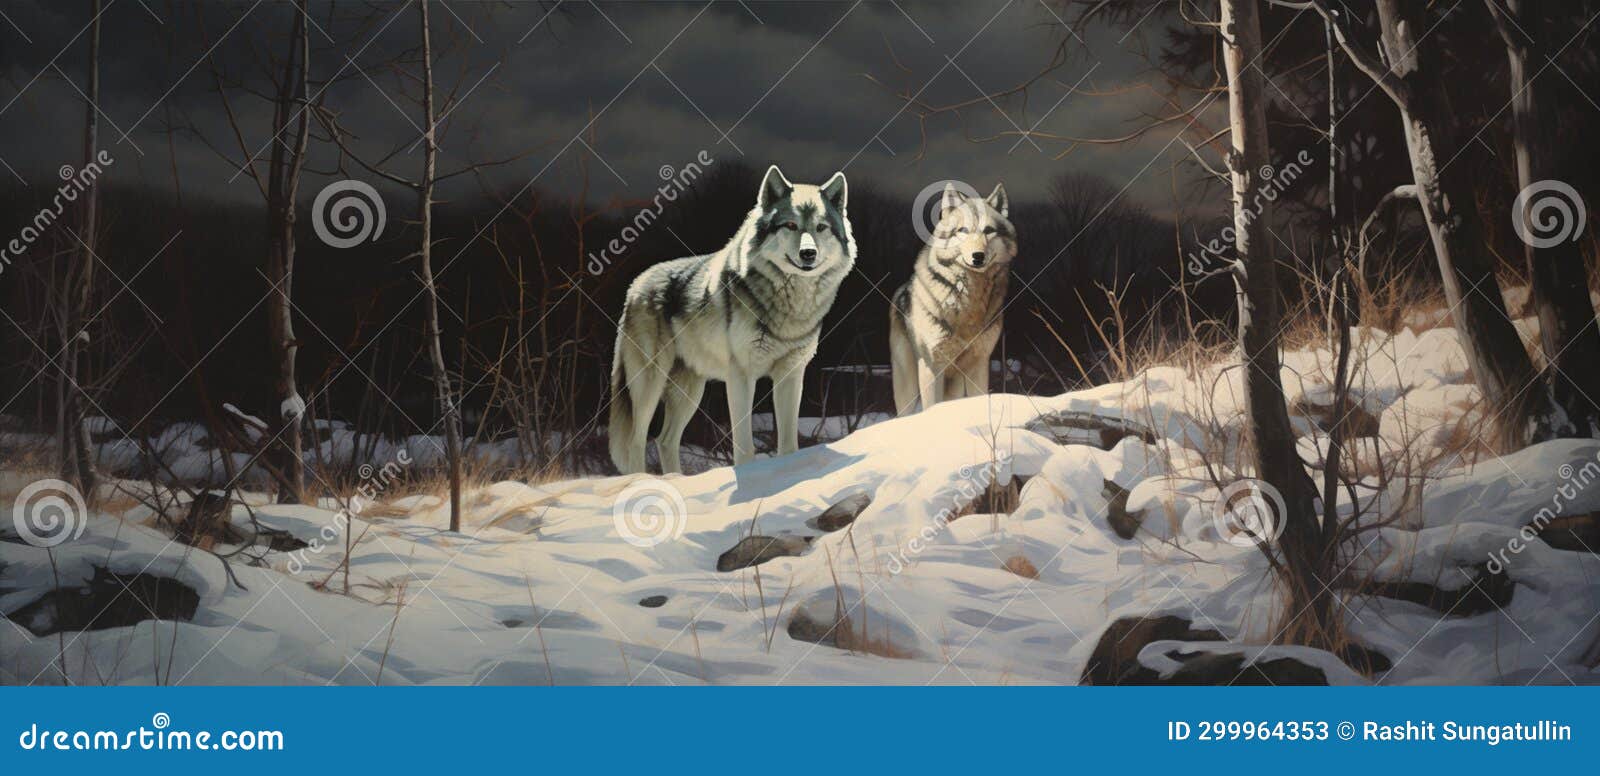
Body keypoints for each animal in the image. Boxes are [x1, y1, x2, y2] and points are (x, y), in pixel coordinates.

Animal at [609, 166, 856, 475]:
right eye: (790, 225)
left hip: (690, 390)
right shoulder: (741, 375)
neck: (790, 307)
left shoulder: (790, 374)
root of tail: (635, 286)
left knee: (664, 440)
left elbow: (788, 443)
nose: (808, 254)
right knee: (636, 441)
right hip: (650, 384)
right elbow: (744, 447)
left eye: (821, 228)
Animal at [889, 182, 1014, 415]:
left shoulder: (979, 364)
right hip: (907, 386)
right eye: (963, 231)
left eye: (988, 231)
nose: (978, 256)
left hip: (954, 385)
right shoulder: (931, 367)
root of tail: (902, 289)